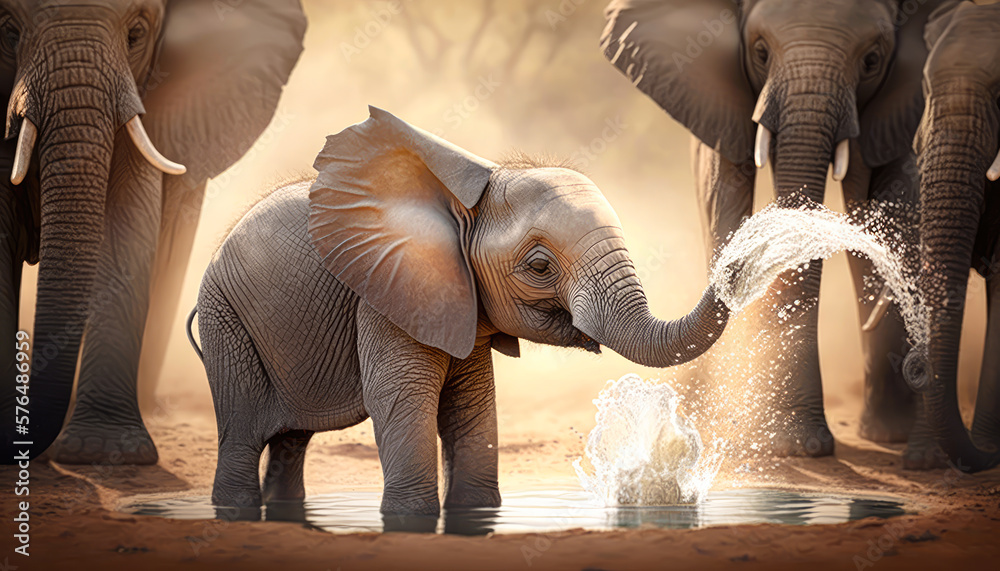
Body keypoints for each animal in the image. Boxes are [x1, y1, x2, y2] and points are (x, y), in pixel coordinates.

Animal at [190, 107, 738, 515]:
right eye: (539, 265)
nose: (741, 257)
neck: (464, 200)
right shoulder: (387, 295)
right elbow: (403, 402)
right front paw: (411, 518)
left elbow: (473, 408)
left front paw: (475, 512)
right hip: (225, 317)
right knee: (243, 434)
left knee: (292, 440)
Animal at [601, 0, 952, 459]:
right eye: (761, 52)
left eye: (872, 60)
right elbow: (723, 189)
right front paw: (783, 443)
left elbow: (880, 187)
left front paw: (796, 444)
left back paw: (887, 436)